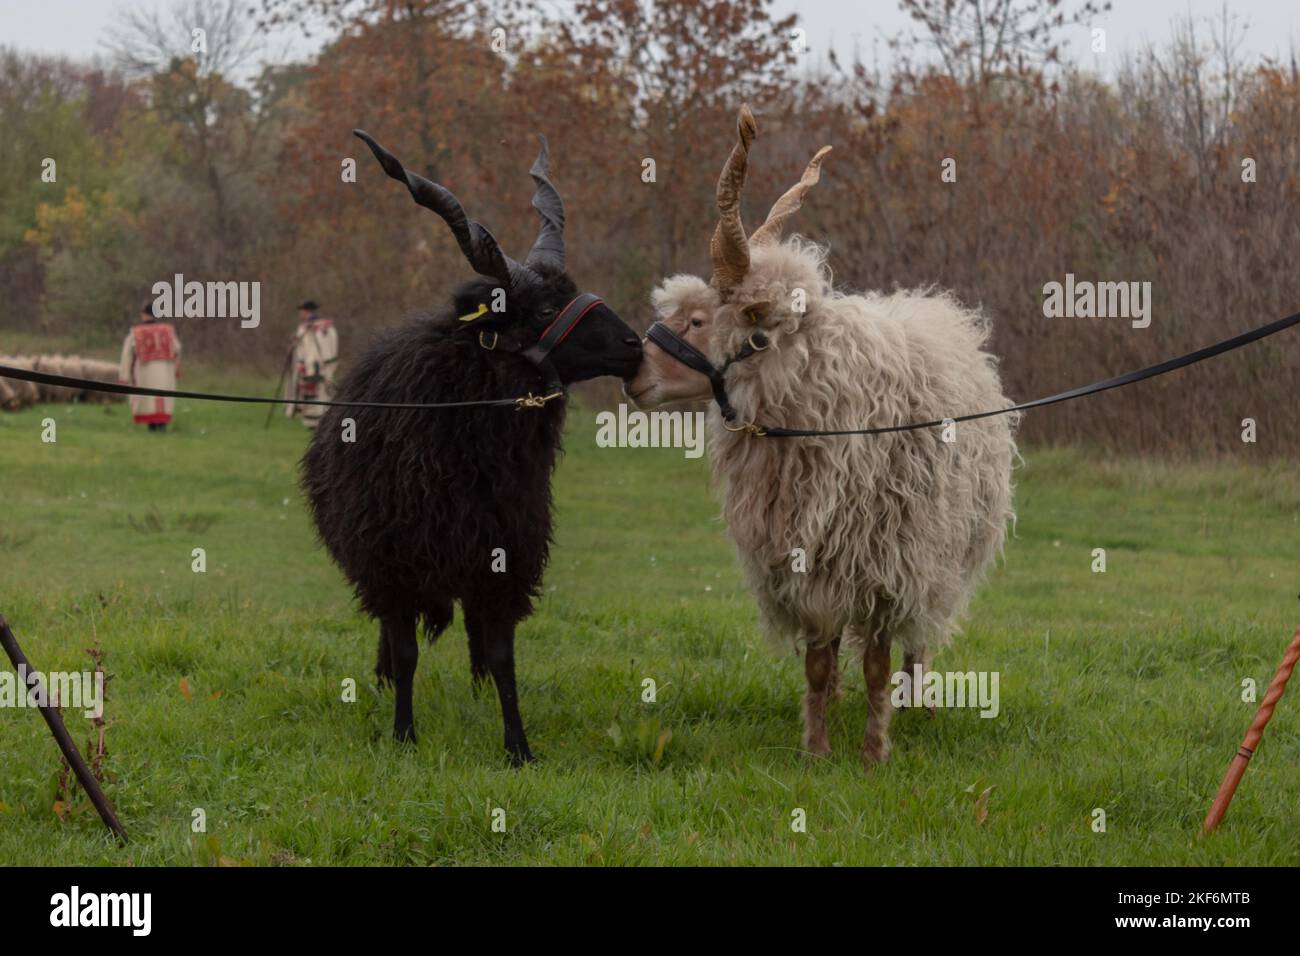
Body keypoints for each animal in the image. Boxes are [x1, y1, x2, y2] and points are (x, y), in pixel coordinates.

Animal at [305, 132, 650, 764]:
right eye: (544, 310)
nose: (633, 345)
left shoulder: (503, 560)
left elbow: (503, 656)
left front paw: (518, 748)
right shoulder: (392, 567)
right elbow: (408, 653)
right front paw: (404, 736)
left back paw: (476, 686)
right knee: (392, 638)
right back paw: (383, 681)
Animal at [626, 108, 1013, 770]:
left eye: (698, 321)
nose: (633, 376)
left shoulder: (886, 563)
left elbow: (879, 664)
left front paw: (874, 753)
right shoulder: (803, 562)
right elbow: (814, 661)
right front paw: (815, 749)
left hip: (943, 551)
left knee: (920, 637)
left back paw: (921, 704)